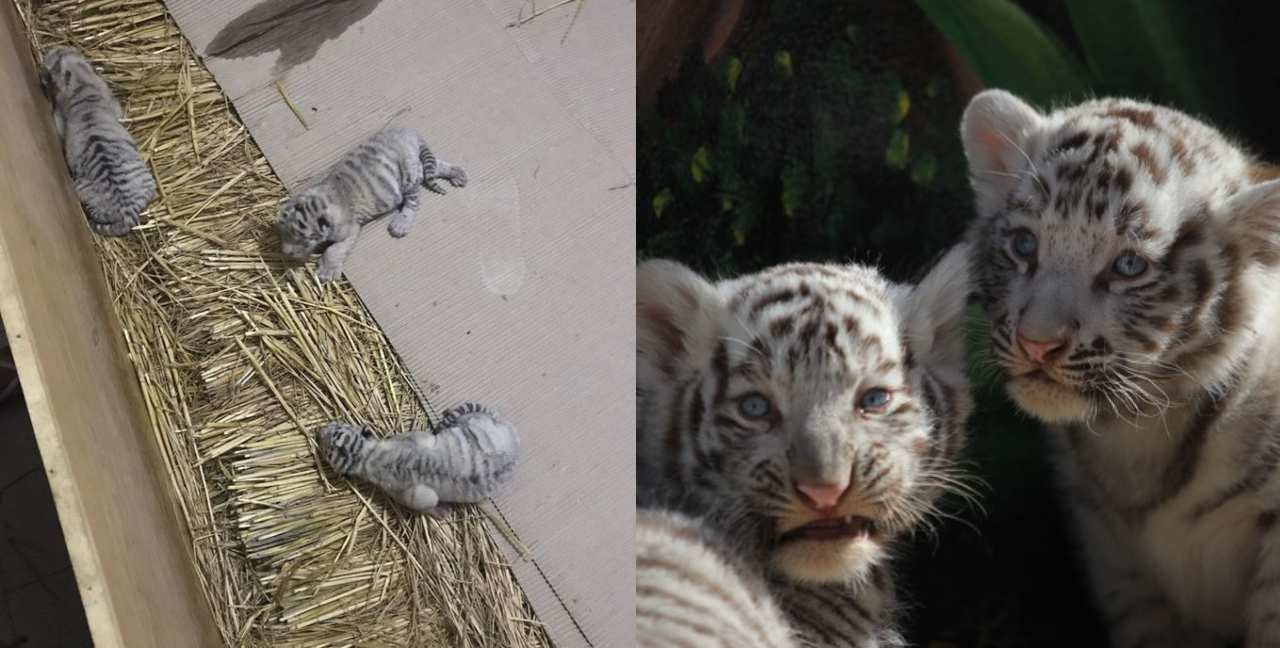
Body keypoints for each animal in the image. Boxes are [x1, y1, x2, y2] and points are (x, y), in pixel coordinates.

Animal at [276, 126, 467, 282]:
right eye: (283, 231)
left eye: (303, 238)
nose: (285, 252)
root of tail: (408, 132)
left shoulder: (350, 230)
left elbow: (335, 249)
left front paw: (326, 271)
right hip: (417, 166)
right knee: (433, 165)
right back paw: (458, 174)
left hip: (408, 174)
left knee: (413, 200)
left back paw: (401, 224)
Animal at [316, 402, 518, 518]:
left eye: (336, 427)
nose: (318, 431)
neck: (367, 455)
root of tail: (514, 442)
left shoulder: (406, 494)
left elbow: (427, 501)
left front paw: (440, 512)